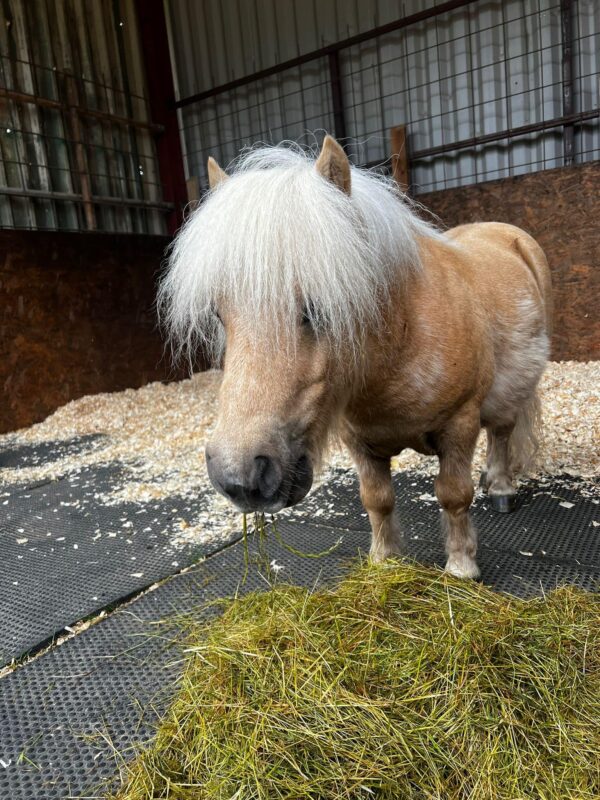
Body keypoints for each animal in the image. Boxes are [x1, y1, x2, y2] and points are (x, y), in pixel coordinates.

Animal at [161, 135, 552, 579]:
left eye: (319, 309)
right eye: (218, 314)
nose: (239, 476)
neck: (399, 347)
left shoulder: (460, 423)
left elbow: (454, 495)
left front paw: (461, 566)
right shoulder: (359, 441)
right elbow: (376, 499)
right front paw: (384, 561)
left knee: (502, 432)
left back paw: (500, 485)